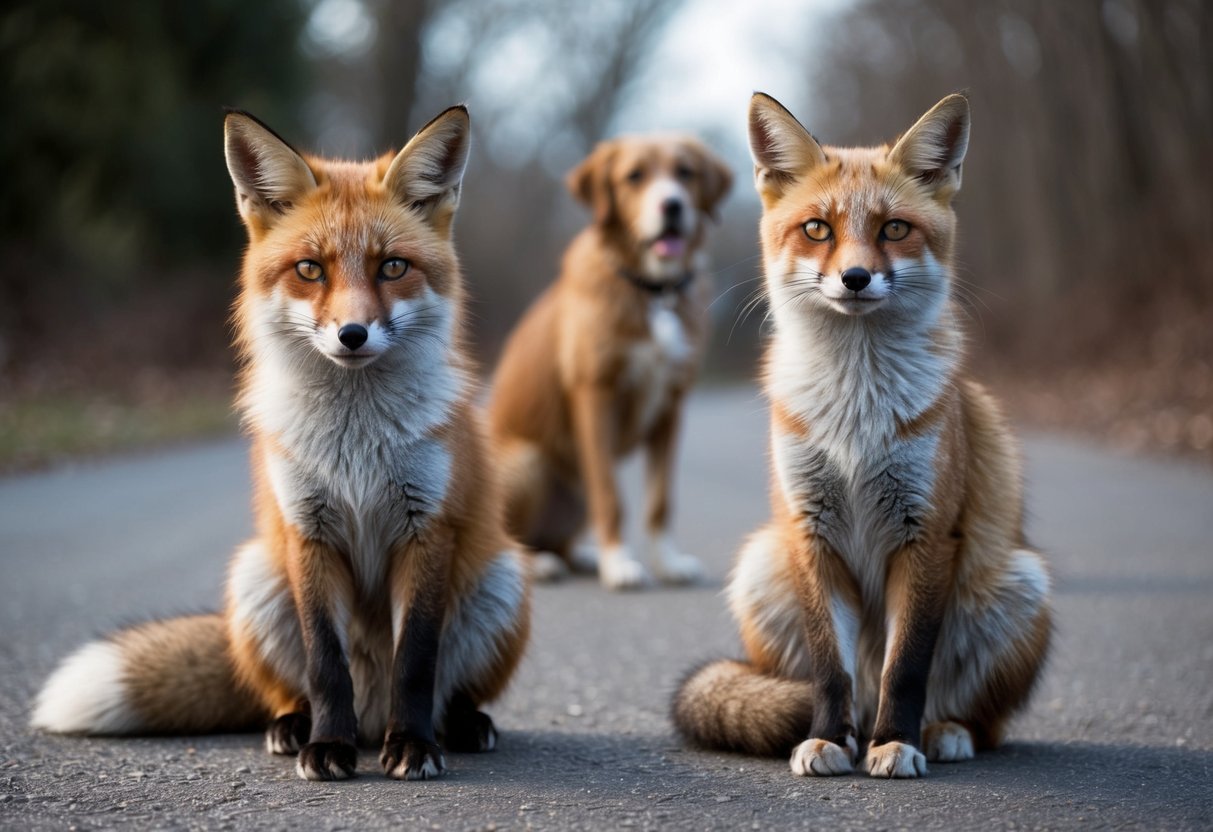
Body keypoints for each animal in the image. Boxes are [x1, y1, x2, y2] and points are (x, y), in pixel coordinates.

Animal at [31, 105, 532, 782]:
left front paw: (413, 745)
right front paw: (328, 747)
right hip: (257, 578)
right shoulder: (307, 529)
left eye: (392, 267)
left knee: (444, 690)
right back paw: (297, 727)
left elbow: (416, 663)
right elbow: (325, 664)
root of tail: (371, 718)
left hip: (502, 580)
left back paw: (455, 726)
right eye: (310, 269)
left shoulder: (427, 529)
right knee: (293, 690)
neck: (356, 443)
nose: (352, 334)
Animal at [671, 93, 1052, 778]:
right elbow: (830, 670)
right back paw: (854, 733)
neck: (857, 411)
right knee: (848, 685)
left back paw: (942, 731)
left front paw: (895, 743)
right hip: (762, 566)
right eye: (818, 229)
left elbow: (907, 668)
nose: (854, 278)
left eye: (893, 230)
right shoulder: (812, 532)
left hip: (1015, 586)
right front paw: (826, 739)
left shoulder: (925, 533)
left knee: (980, 718)